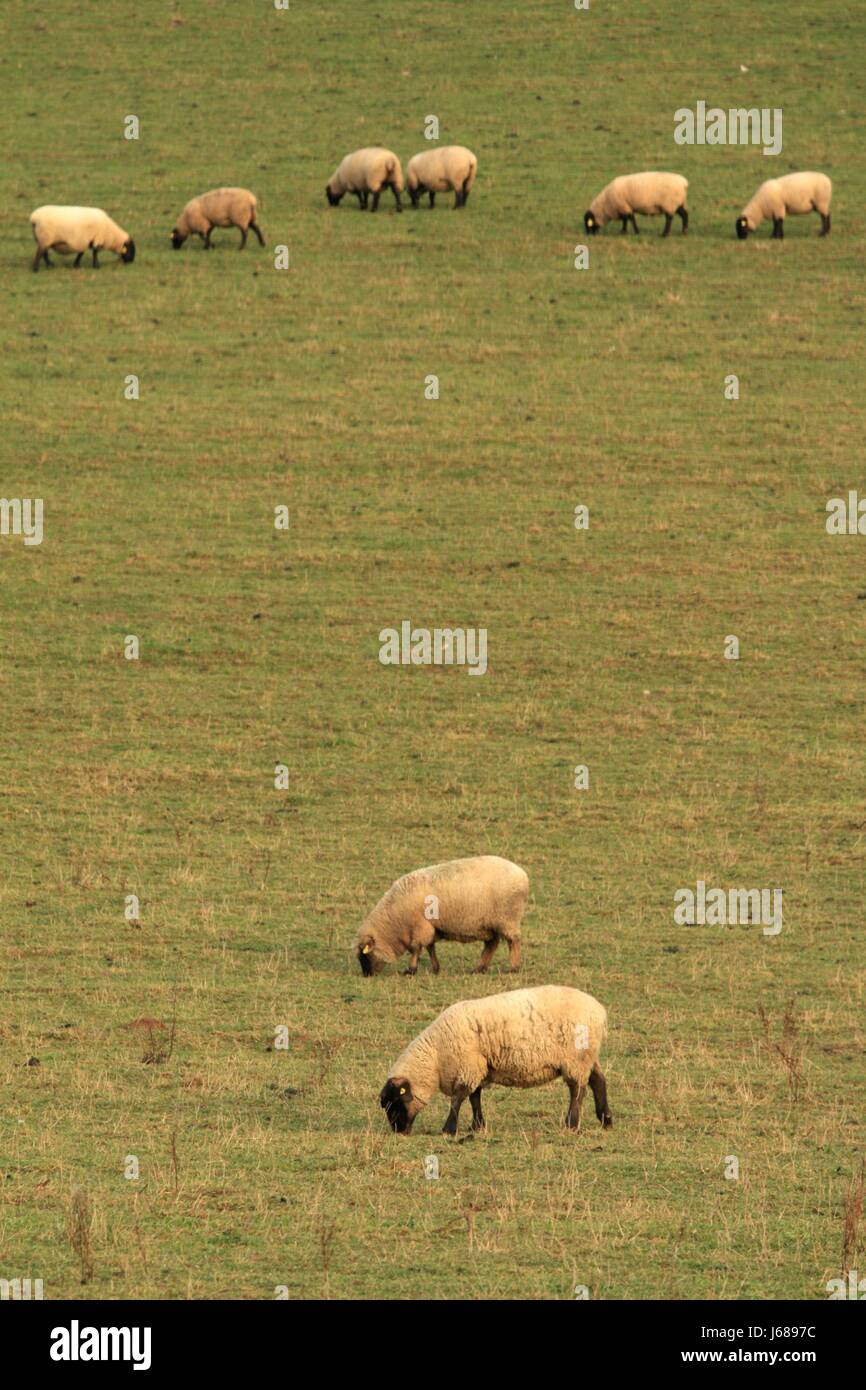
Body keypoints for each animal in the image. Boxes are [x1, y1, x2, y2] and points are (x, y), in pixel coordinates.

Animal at [355, 855, 528, 976]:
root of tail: (522, 875)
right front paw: (435, 968)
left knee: (514, 941)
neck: (394, 921)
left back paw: (513, 968)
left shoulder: (420, 925)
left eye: (364, 954)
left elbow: (416, 947)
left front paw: (411, 970)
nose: (367, 975)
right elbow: (430, 947)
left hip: (507, 918)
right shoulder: (430, 926)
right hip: (490, 923)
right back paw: (479, 968)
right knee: (491, 945)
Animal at [380, 985, 613, 1136]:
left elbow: (458, 1098)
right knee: (598, 1081)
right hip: (587, 1055)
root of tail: (600, 1011)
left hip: (576, 1058)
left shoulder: (468, 1067)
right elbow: (474, 1098)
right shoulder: (477, 1067)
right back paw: (606, 1120)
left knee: (578, 1090)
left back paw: (571, 1124)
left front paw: (449, 1129)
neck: (436, 1056)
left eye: (395, 1102)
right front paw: (477, 1126)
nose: (399, 1132)